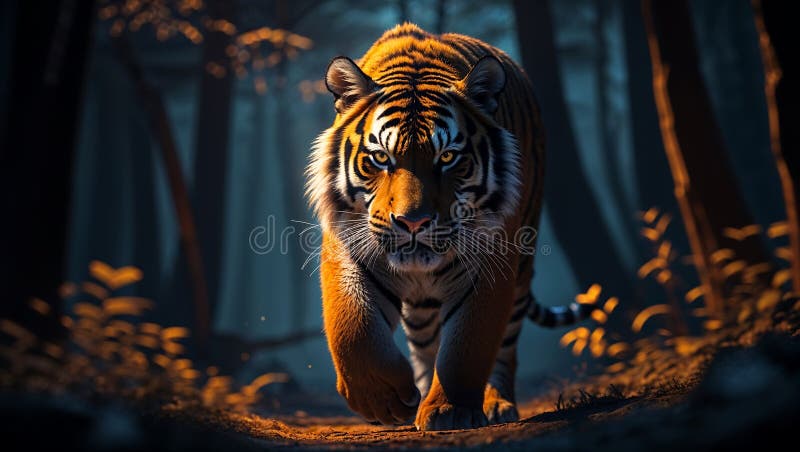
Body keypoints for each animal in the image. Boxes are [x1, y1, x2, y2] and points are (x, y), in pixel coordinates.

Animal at [306, 23, 596, 431]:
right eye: (380, 157)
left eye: (447, 158)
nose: (413, 221)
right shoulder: (349, 244)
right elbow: (353, 327)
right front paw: (383, 399)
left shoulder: (491, 263)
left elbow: (467, 346)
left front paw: (450, 410)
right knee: (425, 340)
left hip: (521, 266)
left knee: (505, 346)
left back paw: (497, 403)